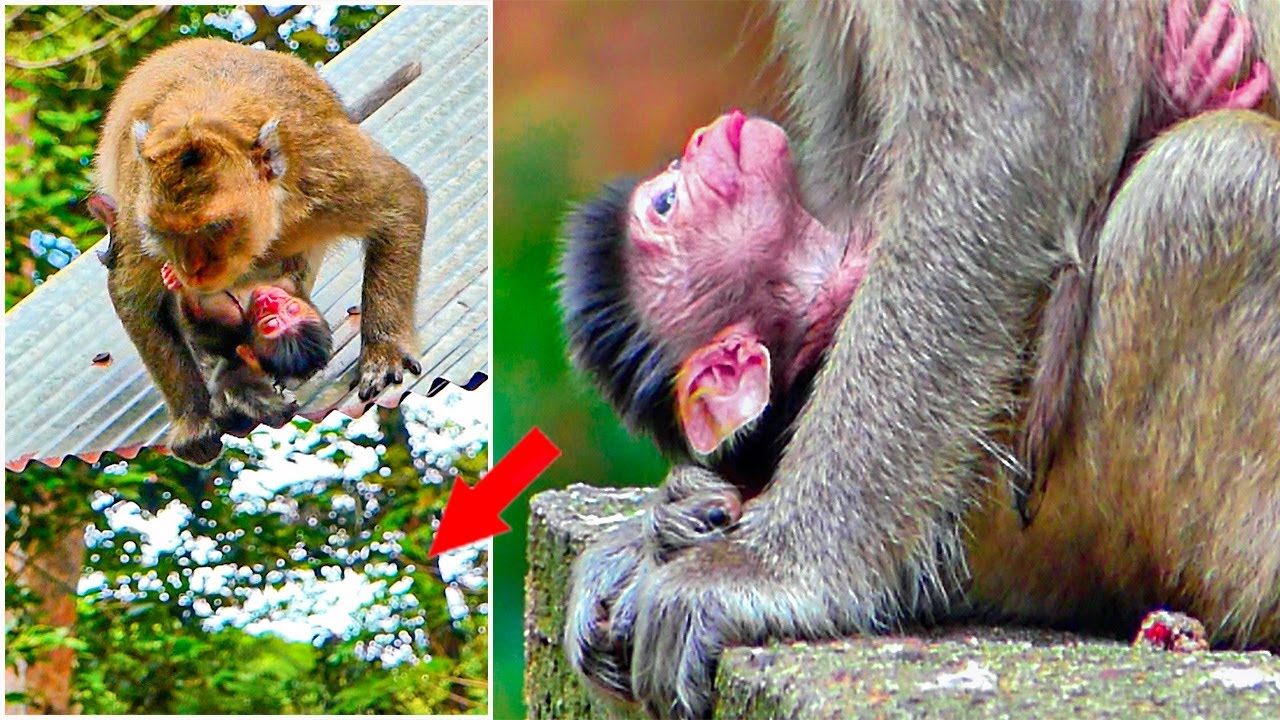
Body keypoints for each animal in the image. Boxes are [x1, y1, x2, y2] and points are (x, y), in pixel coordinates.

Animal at [95, 38, 427, 464]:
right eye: (166, 233)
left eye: (216, 228)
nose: (191, 268)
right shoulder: (140, 207)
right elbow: (135, 295)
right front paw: (194, 416)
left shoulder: (322, 171)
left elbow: (400, 199)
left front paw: (383, 350)